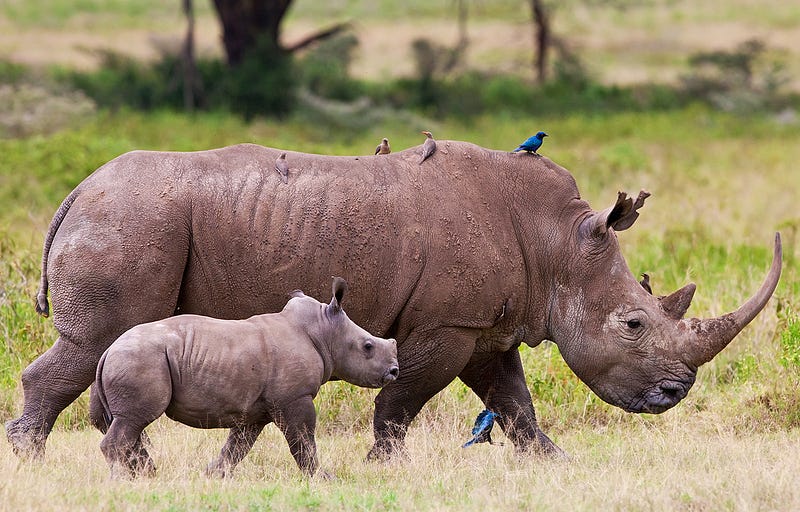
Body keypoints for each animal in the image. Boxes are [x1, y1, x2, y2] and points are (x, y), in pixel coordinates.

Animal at [89, 277, 398, 478]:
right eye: (367, 347)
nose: (394, 371)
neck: (323, 331)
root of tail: (108, 351)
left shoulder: (257, 408)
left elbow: (238, 445)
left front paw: (213, 475)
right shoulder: (295, 397)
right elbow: (303, 439)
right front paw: (322, 478)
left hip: (133, 358)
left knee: (131, 422)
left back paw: (146, 475)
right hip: (140, 359)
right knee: (135, 419)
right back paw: (123, 479)